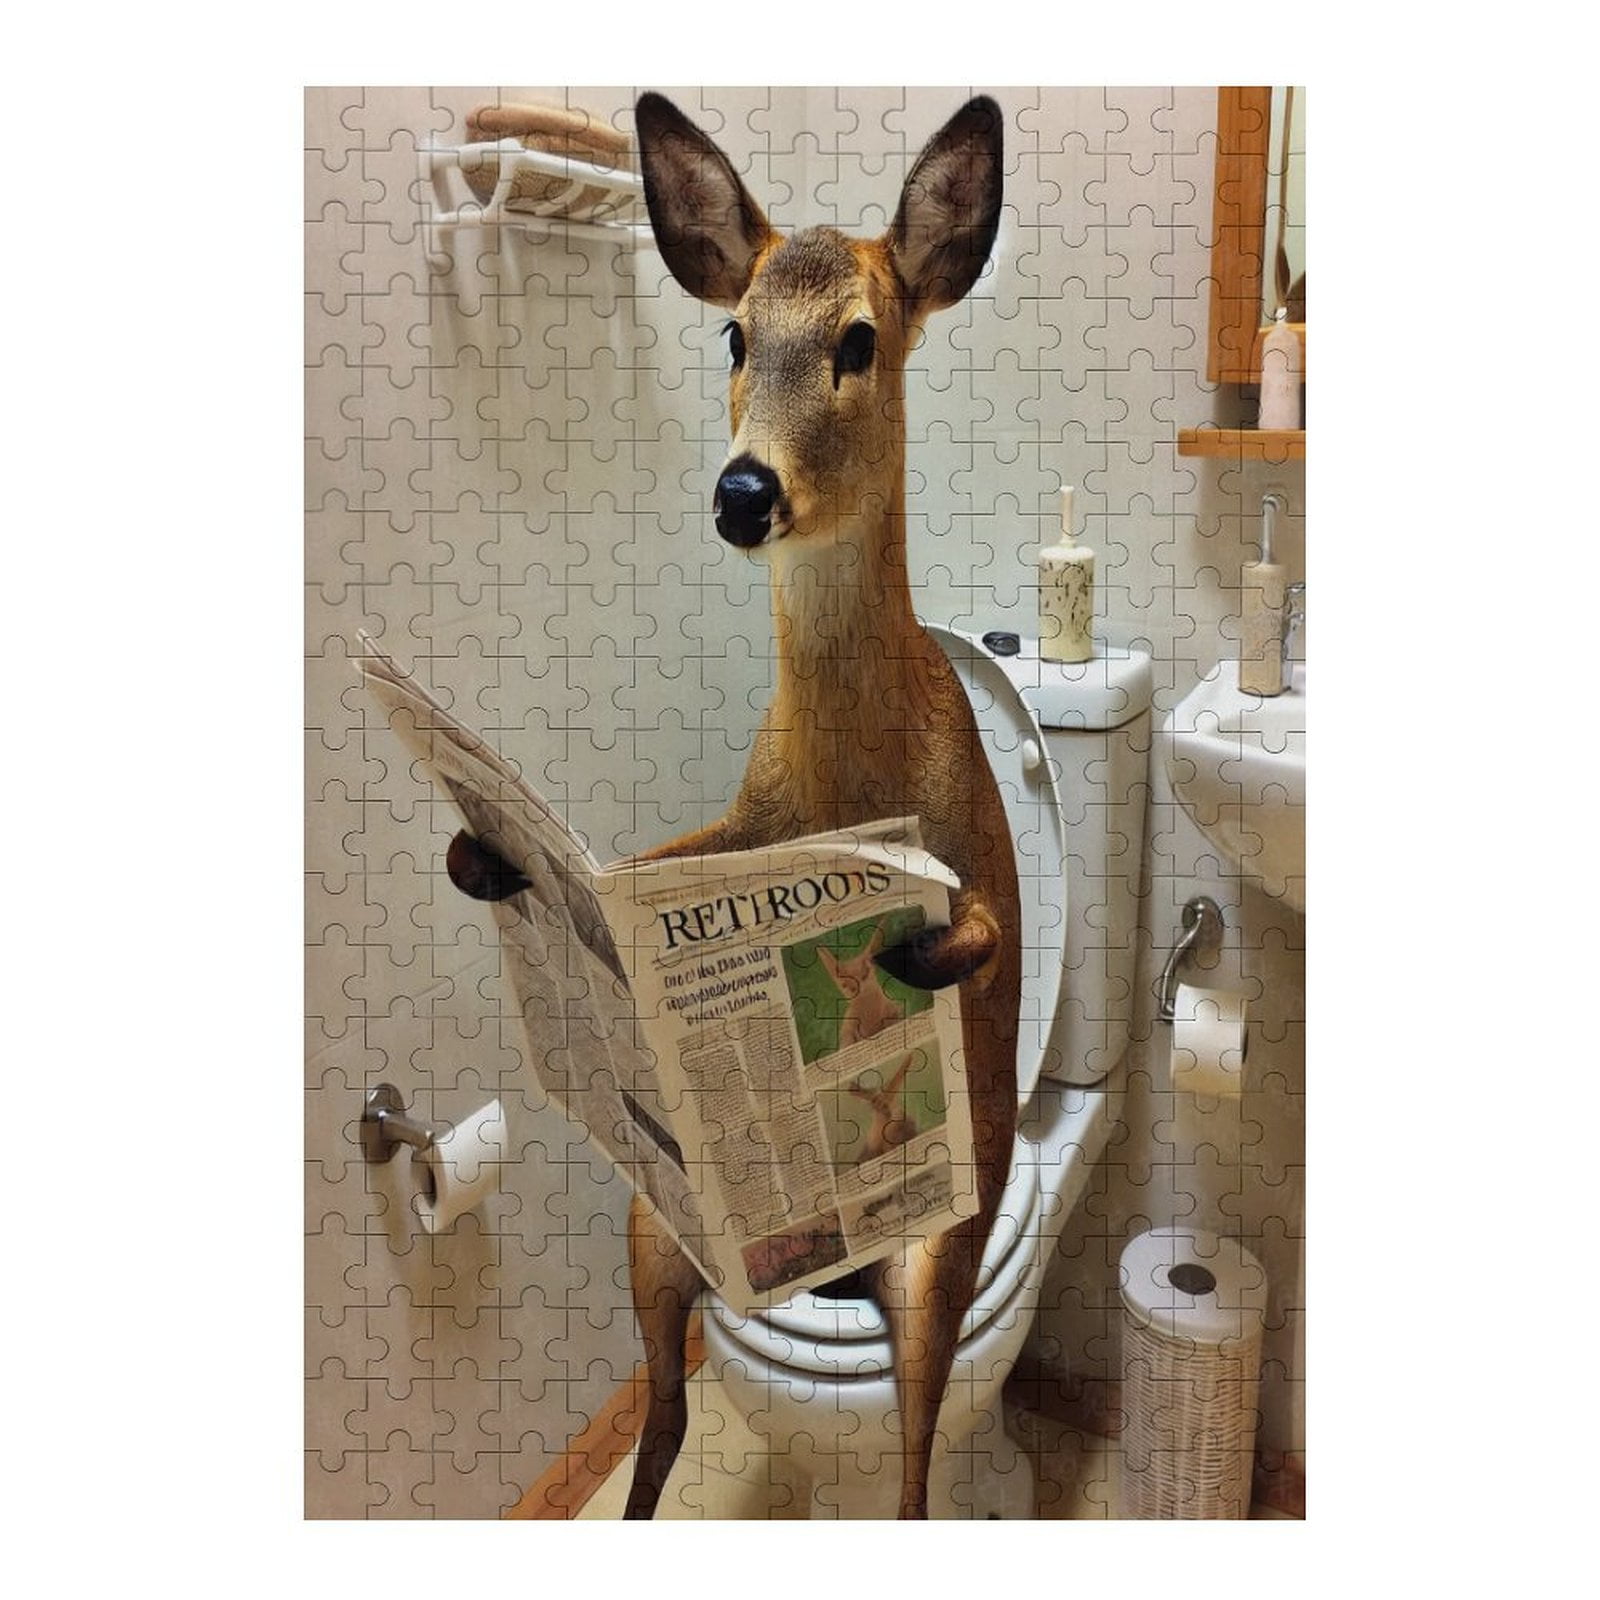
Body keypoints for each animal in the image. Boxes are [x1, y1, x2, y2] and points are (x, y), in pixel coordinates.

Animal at [445, 91, 1021, 1520]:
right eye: (734, 333)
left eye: (860, 337)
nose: (743, 489)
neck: (846, 769)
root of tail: (832, 1270)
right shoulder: (743, 821)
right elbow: (634, 865)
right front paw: (486, 851)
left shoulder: (974, 842)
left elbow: (984, 930)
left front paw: (914, 952)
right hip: (658, 1218)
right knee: (659, 1422)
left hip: (937, 1266)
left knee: (911, 1479)